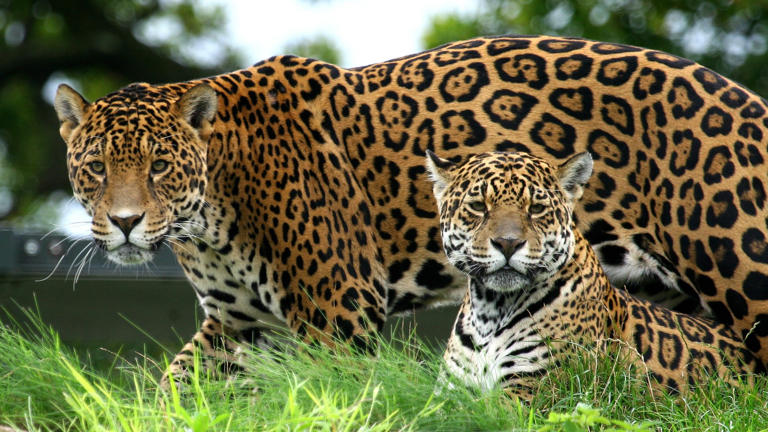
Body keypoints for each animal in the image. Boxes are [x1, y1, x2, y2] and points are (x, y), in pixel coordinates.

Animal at [426, 149, 764, 396]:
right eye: (478, 206)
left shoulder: (533, 390)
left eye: (536, 208)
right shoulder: (453, 395)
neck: (491, 310)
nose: (508, 243)